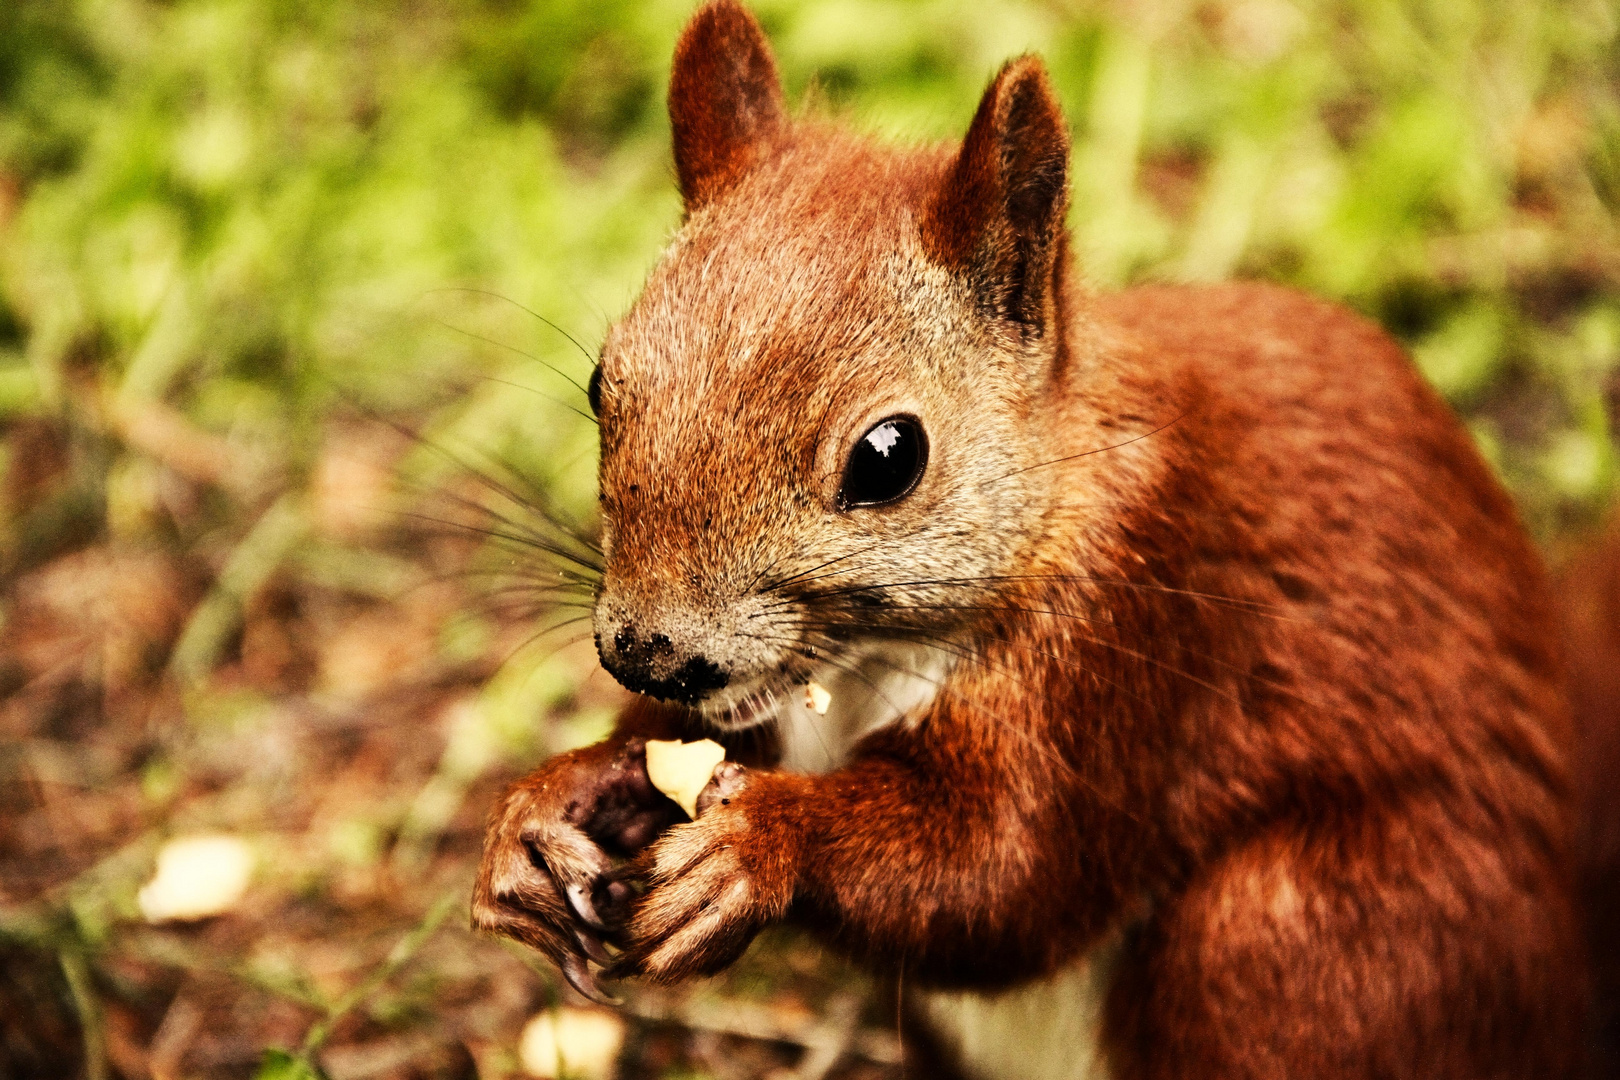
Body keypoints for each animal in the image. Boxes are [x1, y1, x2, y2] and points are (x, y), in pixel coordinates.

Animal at [472, 3, 1599, 1077]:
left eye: (888, 457)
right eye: (601, 385)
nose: (646, 654)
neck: (865, 665)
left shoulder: (1134, 621)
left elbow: (1006, 880)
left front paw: (757, 845)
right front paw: (553, 800)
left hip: (1303, 940)